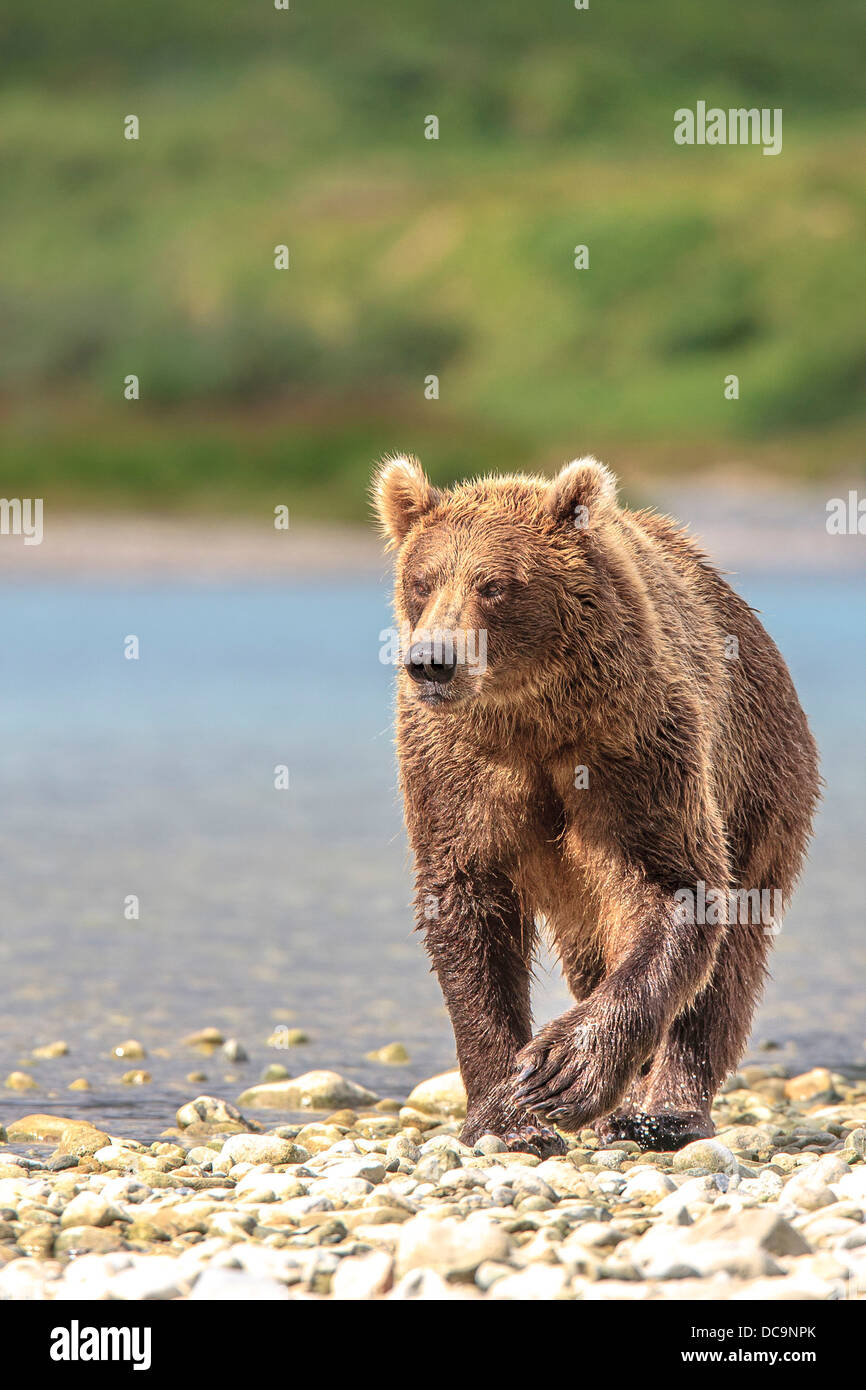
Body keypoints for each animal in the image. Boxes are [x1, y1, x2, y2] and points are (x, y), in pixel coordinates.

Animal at [373, 454, 819, 1156]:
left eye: (495, 584)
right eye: (423, 580)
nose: (433, 662)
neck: (531, 720)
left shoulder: (633, 747)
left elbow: (676, 885)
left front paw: (564, 1069)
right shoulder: (458, 767)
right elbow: (467, 904)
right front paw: (507, 1115)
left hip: (762, 785)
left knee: (731, 959)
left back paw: (665, 1112)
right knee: (595, 948)